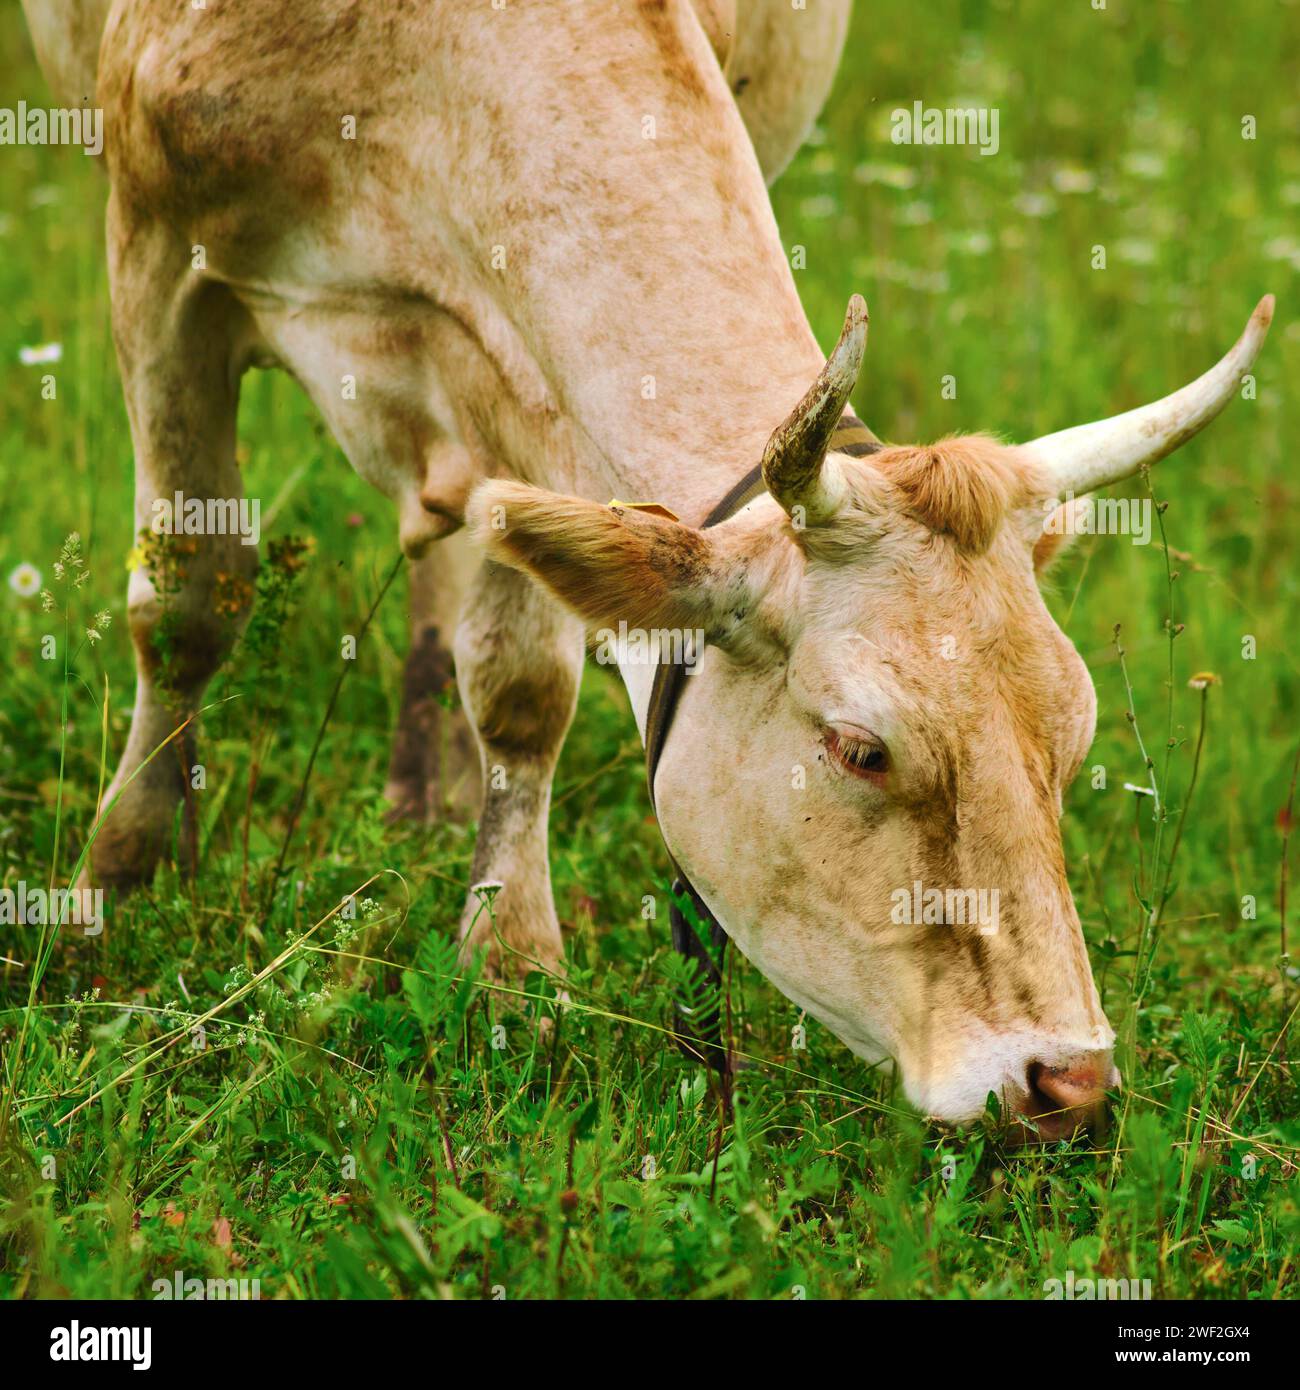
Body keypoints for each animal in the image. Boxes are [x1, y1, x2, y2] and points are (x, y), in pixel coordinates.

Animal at [19, 0, 1270, 1138]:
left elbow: (522, 681)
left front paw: (506, 968)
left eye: (1072, 740)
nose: (1069, 1081)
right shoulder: (157, 255)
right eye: (860, 748)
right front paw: (116, 887)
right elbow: (190, 594)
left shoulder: (509, 369)